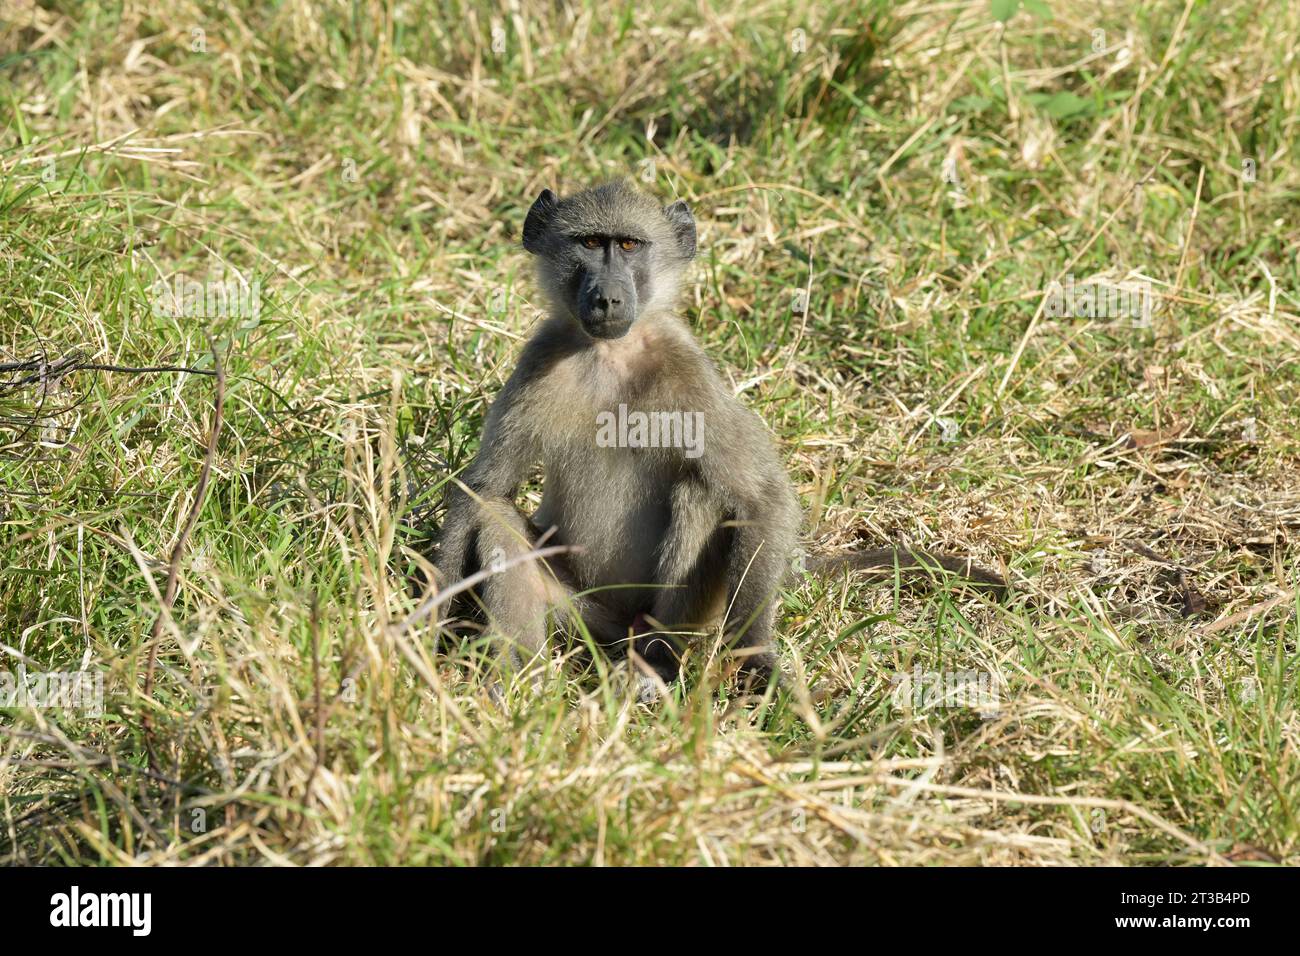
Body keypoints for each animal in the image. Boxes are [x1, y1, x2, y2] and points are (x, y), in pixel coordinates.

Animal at [431, 180, 1005, 700]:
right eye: (590, 243)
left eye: (630, 246)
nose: (608, 298)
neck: (610, 353)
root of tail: (620, 631)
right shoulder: (537, 363)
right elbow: (484, 489)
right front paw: (429, 631)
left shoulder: (692, 379)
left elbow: (761, 498)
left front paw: (756, 659)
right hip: (584, 613)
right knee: (499, 520)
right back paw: (515, 684)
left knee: (700, 494)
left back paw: (654, 666)